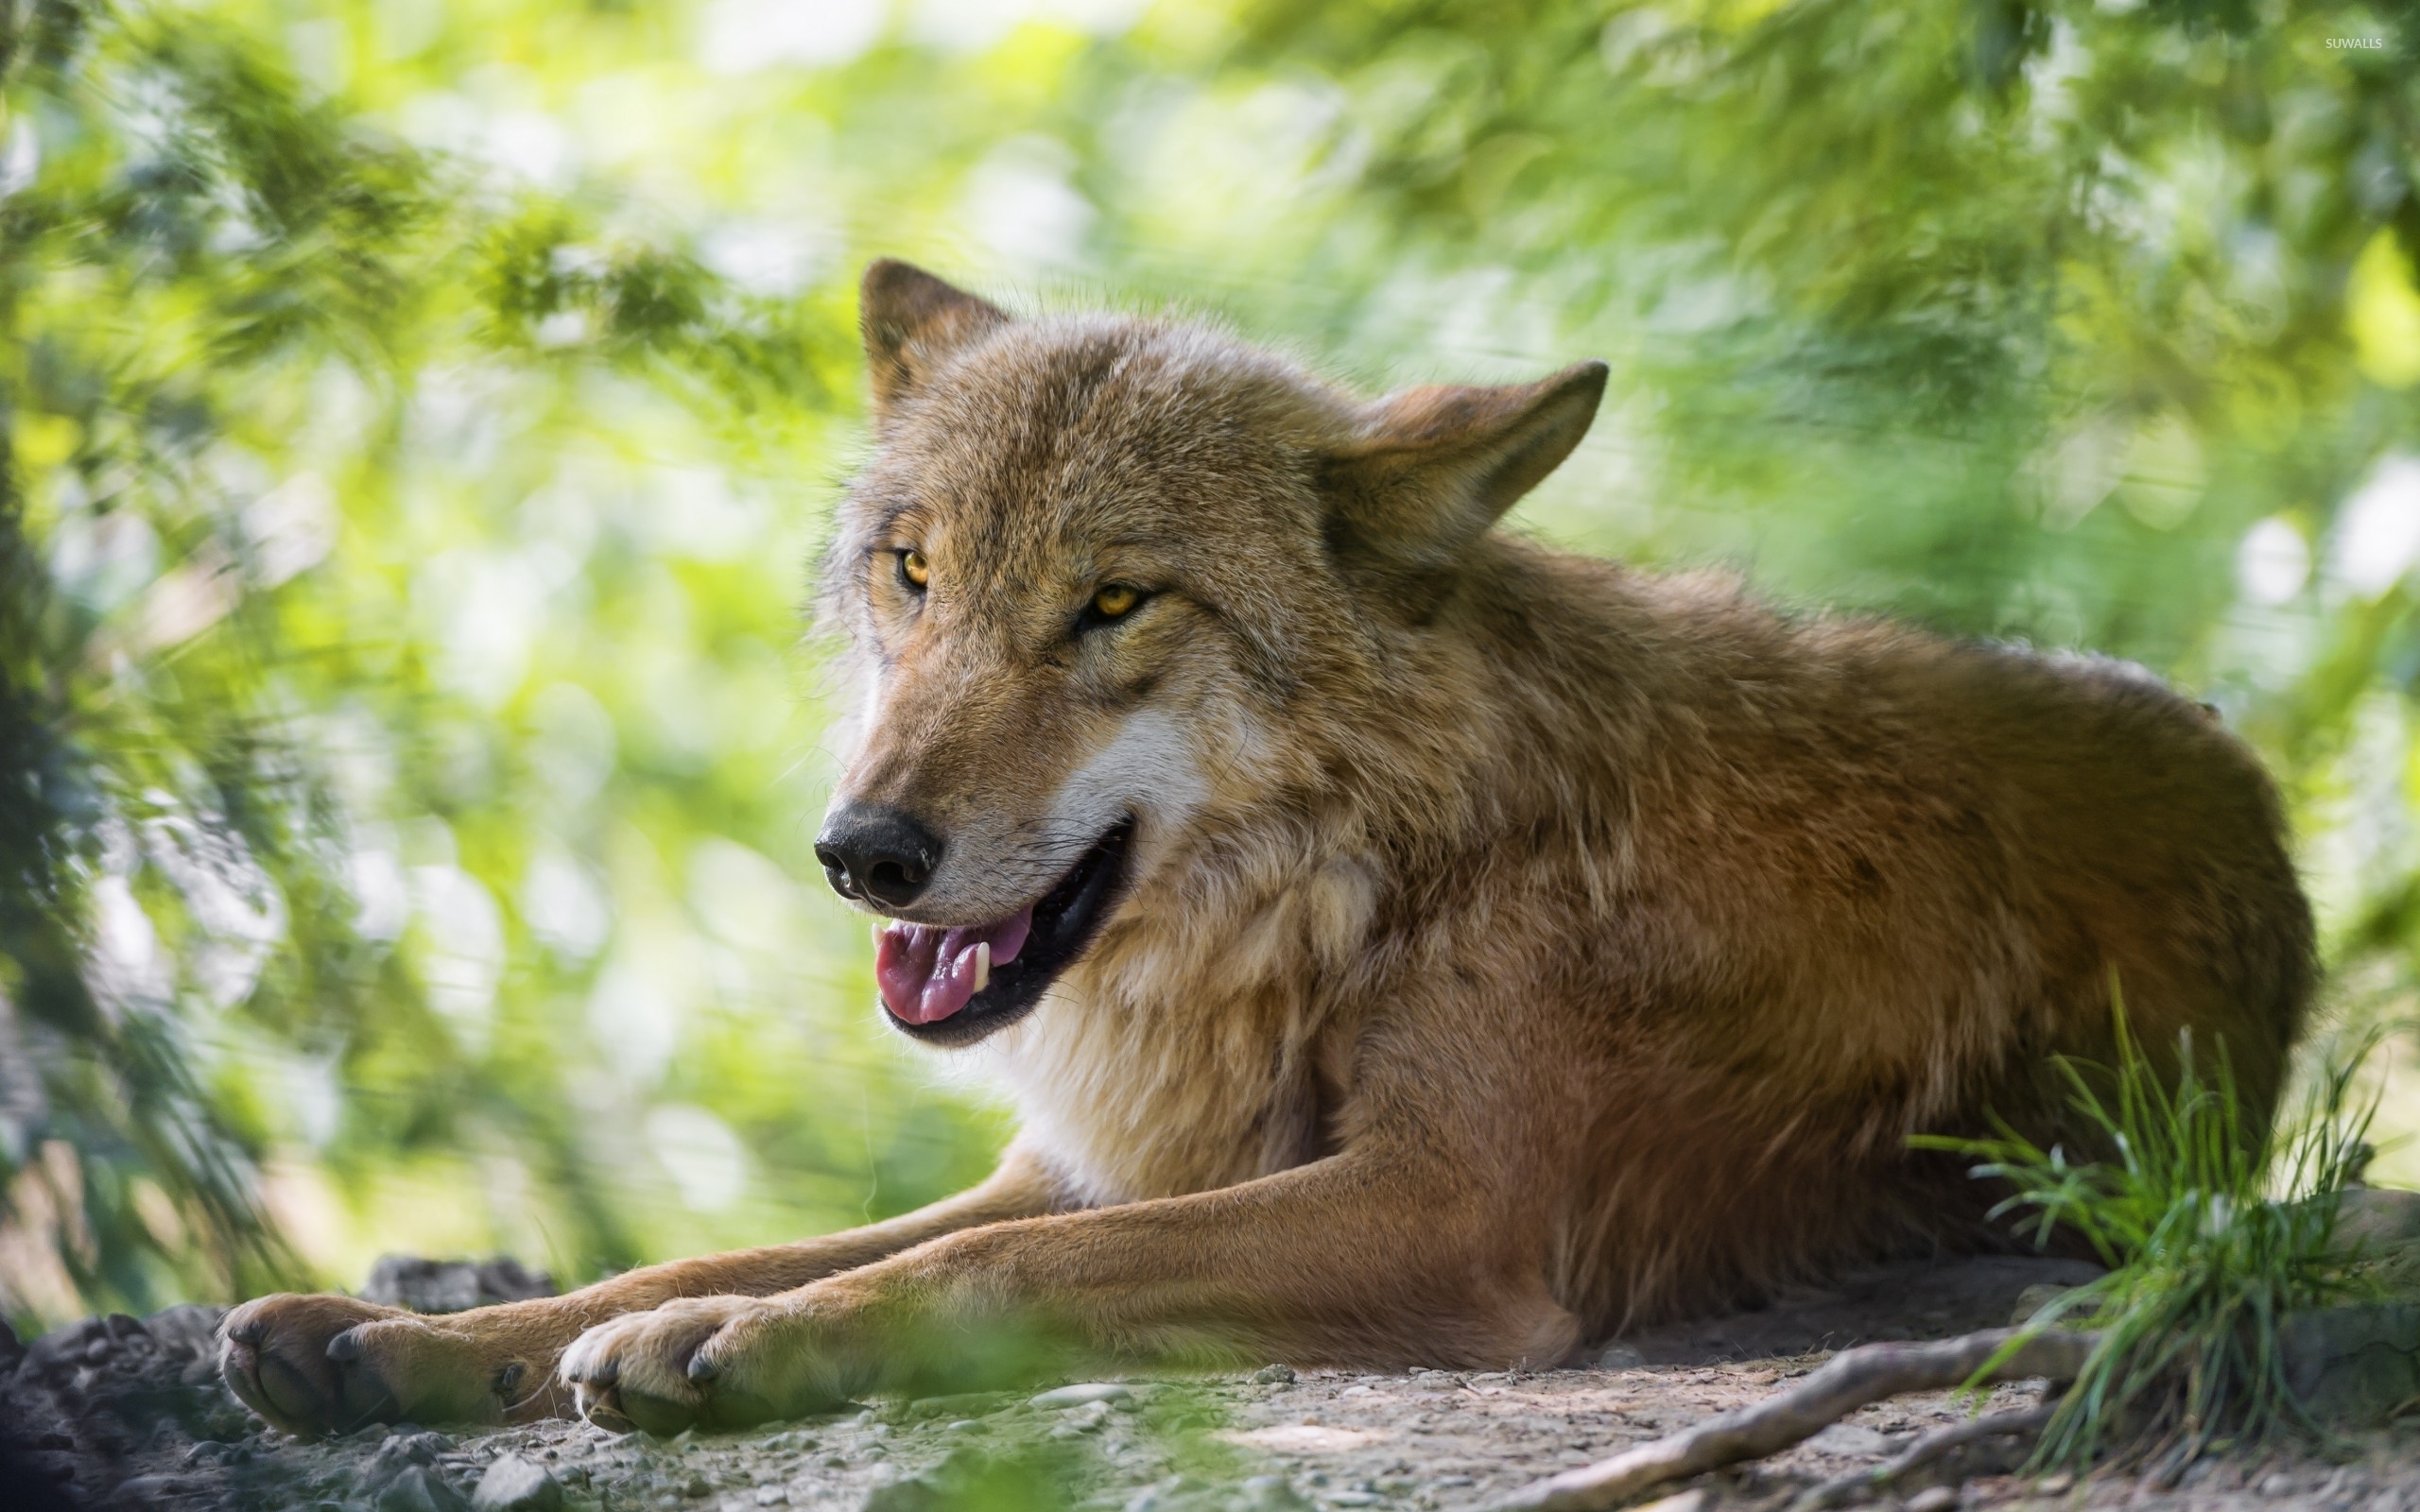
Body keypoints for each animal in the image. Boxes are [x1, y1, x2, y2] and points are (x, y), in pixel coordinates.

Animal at [219, 260, 2312, 1436]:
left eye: (1113, 602)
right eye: (914, 571)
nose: (859, 851)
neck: (1371, 882)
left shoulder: (1444, 1208)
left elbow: (971, 1279)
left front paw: (730, 1342)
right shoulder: (1078, 1160)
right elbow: (744, 1241)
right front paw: (404, 1337)